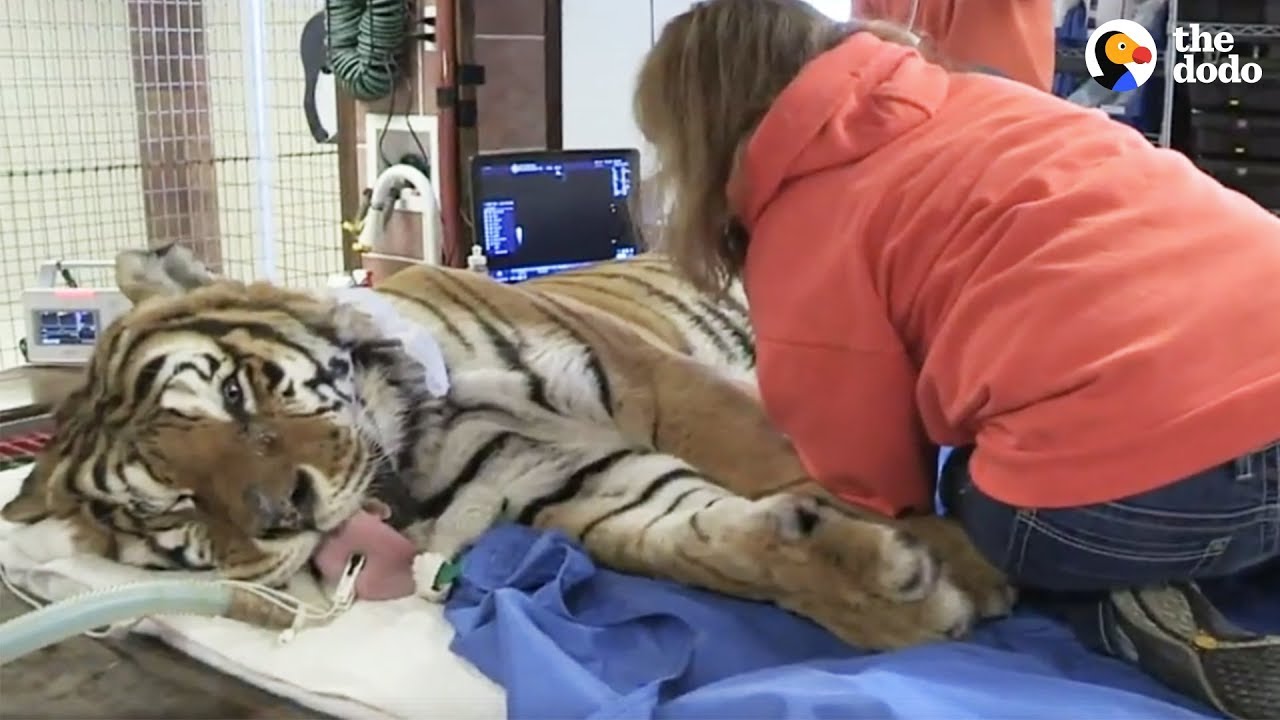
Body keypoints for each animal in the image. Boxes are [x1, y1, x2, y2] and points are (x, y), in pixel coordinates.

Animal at [1, 243, 1014, 650]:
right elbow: (712, 547)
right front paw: (898, 598)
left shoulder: (652, 382)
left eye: (235, 394)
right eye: (177, 506)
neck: (416, 439)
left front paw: (968, 571)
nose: (285, 512)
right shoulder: (584, 485)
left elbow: (780, 462)